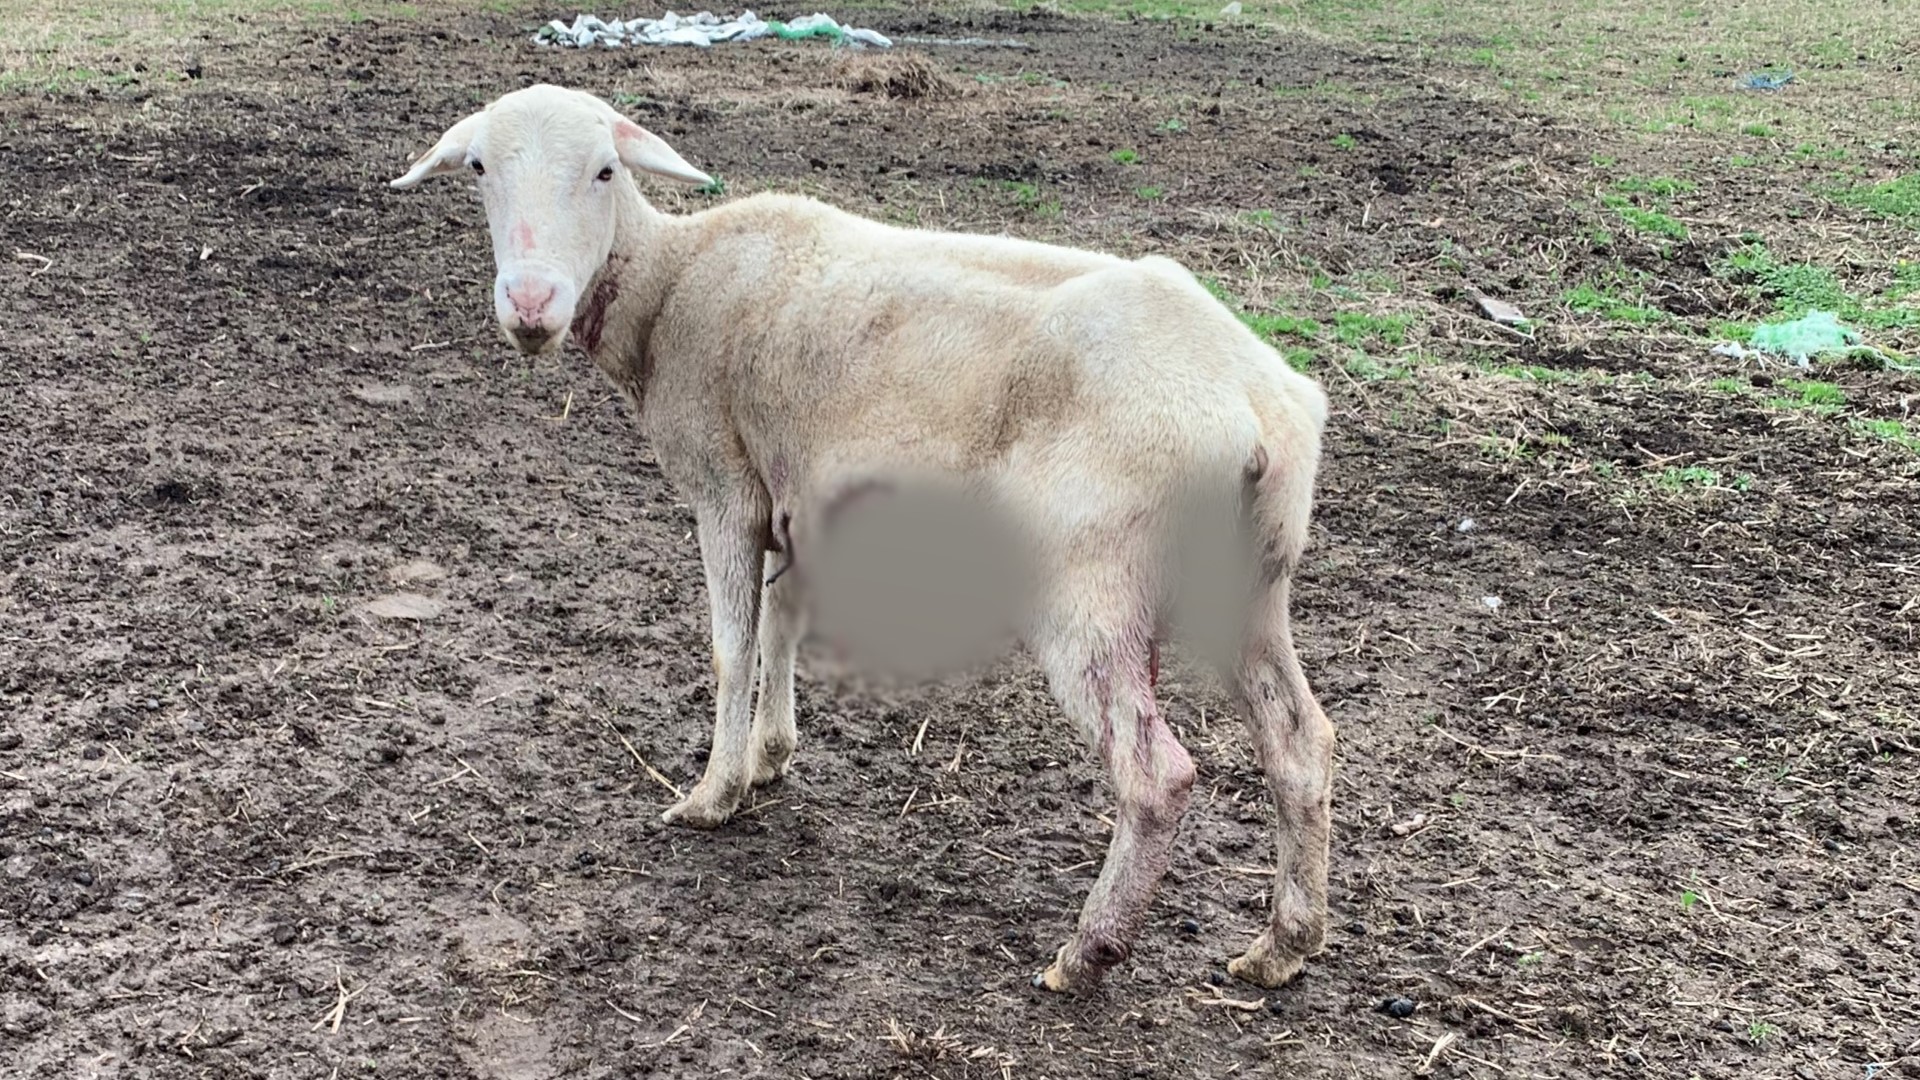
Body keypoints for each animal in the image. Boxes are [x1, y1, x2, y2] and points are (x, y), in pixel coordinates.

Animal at [390, 83, 1335, 995]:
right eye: (478, 167)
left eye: (604, 171)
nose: (530, 305)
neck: (667, 286)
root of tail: (1259, 404)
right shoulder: (792, 492)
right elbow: (781, 626)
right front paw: (770, 755)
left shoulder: (725, 486)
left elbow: (732, 645)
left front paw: (713, 793)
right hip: (1252, 582)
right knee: (1301, 743)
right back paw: (1283, 946)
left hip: (1091, 577)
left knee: (1157, 775)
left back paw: (1088, 953)